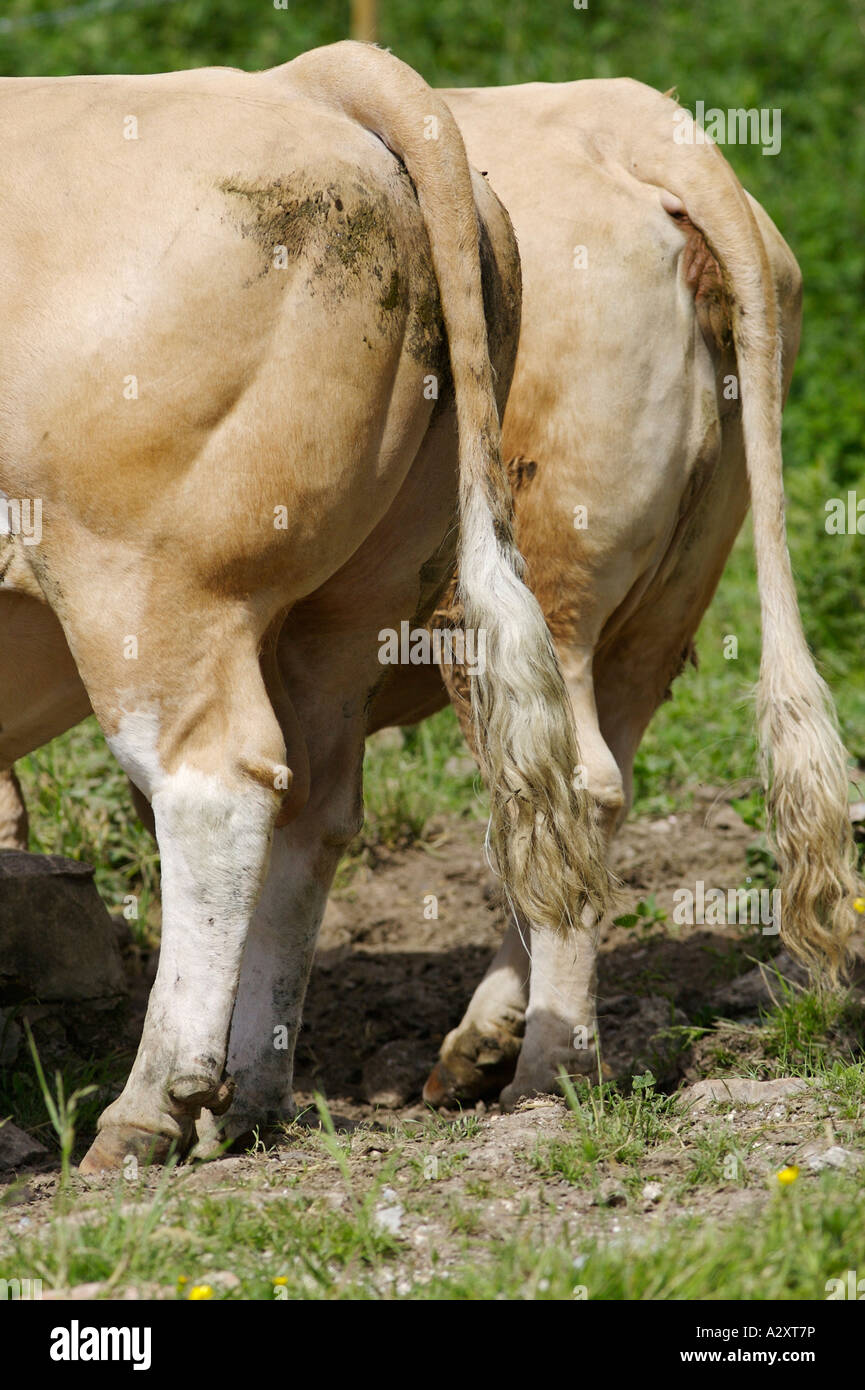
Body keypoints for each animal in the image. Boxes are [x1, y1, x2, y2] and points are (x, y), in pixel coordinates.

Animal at [0, 41, 607, 1171]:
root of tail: (307, 76)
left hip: (151, 583)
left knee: (216, 785)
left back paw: (149, 1108)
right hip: (342, 607)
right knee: (312, 806)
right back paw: (247, 1095)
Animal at [366, 78, 860, 1106]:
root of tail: (636, 122)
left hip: (529, 595)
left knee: (565, 791)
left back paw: (543, 1069)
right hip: (671, 593)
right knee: (585, 795)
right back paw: (489, 1038)